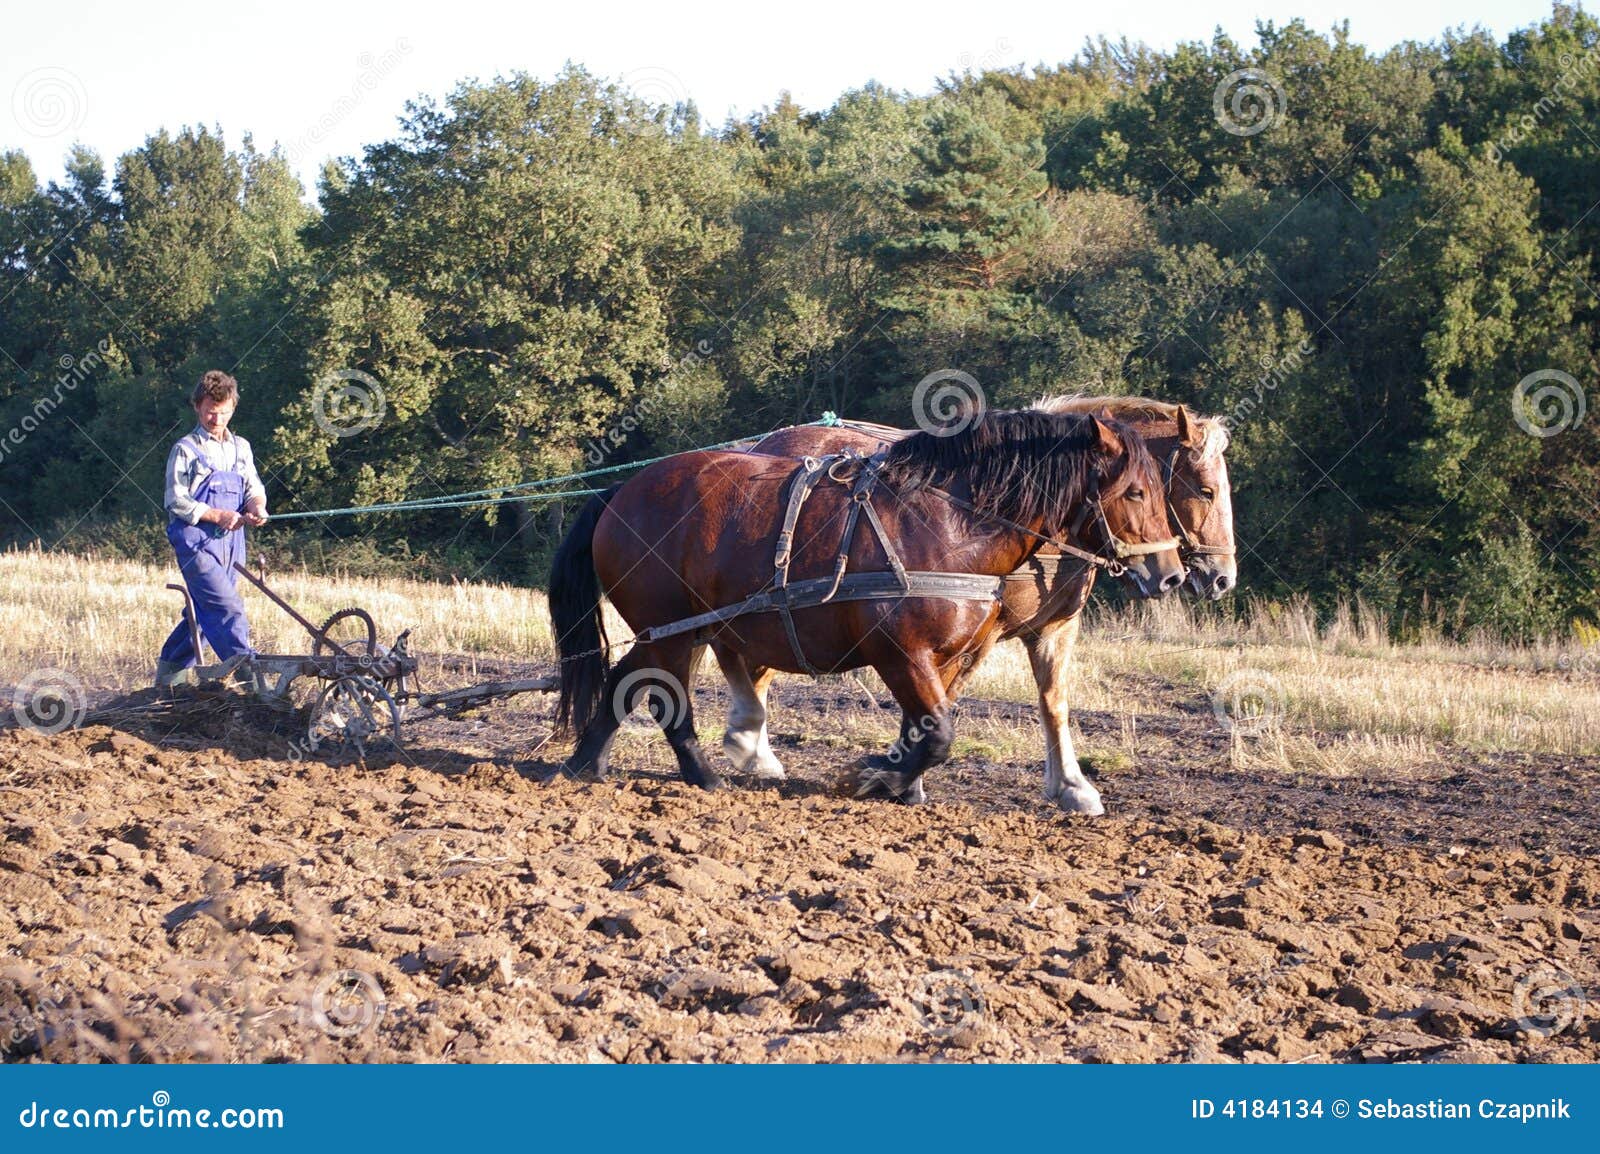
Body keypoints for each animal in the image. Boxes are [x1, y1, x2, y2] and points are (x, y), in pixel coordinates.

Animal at [549, 409, 1187, 804]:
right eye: (1135, 491)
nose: (1171, 573)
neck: (949, 523)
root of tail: (619, 493)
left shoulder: (945, 657)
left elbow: (926, 729)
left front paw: (897, 784)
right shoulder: (900, 652)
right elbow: (939, 735)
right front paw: (871, 777)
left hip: (668, 630)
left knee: (624, 682)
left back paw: (588, 764)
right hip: (671, 629)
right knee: (664, 698)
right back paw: (702, 774)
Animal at [720, 395, 1236, 815]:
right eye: (1205, 490)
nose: (1220, 577)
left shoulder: (1054, 626)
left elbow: (1053, 702)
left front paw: (1072, 787)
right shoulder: (975, 632)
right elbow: (941, 701)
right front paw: (900, 777)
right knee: (758, 668)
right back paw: (756, 753)